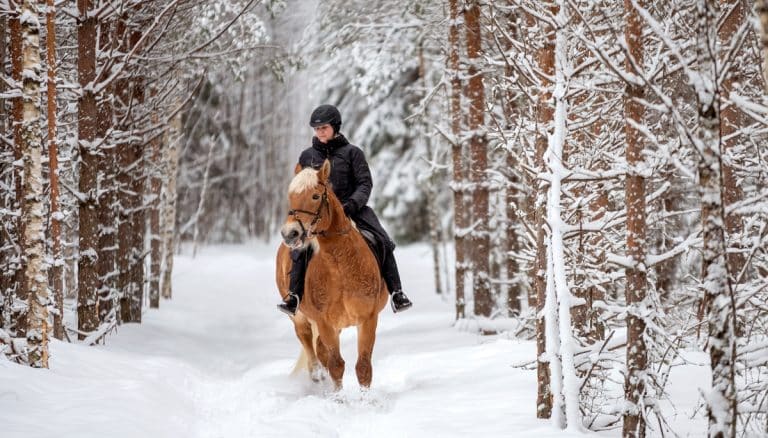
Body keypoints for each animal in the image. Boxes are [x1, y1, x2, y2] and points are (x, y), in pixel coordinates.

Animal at [275, 159, 388, 390]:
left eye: (315, 196)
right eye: (291, 196)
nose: (289, 234)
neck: (340, 266)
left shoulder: (368, 319)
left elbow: (363, 367)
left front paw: (366, 399)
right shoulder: (325, 322)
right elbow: (336, 365)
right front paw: (338, 397)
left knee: (319, 348)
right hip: (299, 317)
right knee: (307, 340)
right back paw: (316, 373)